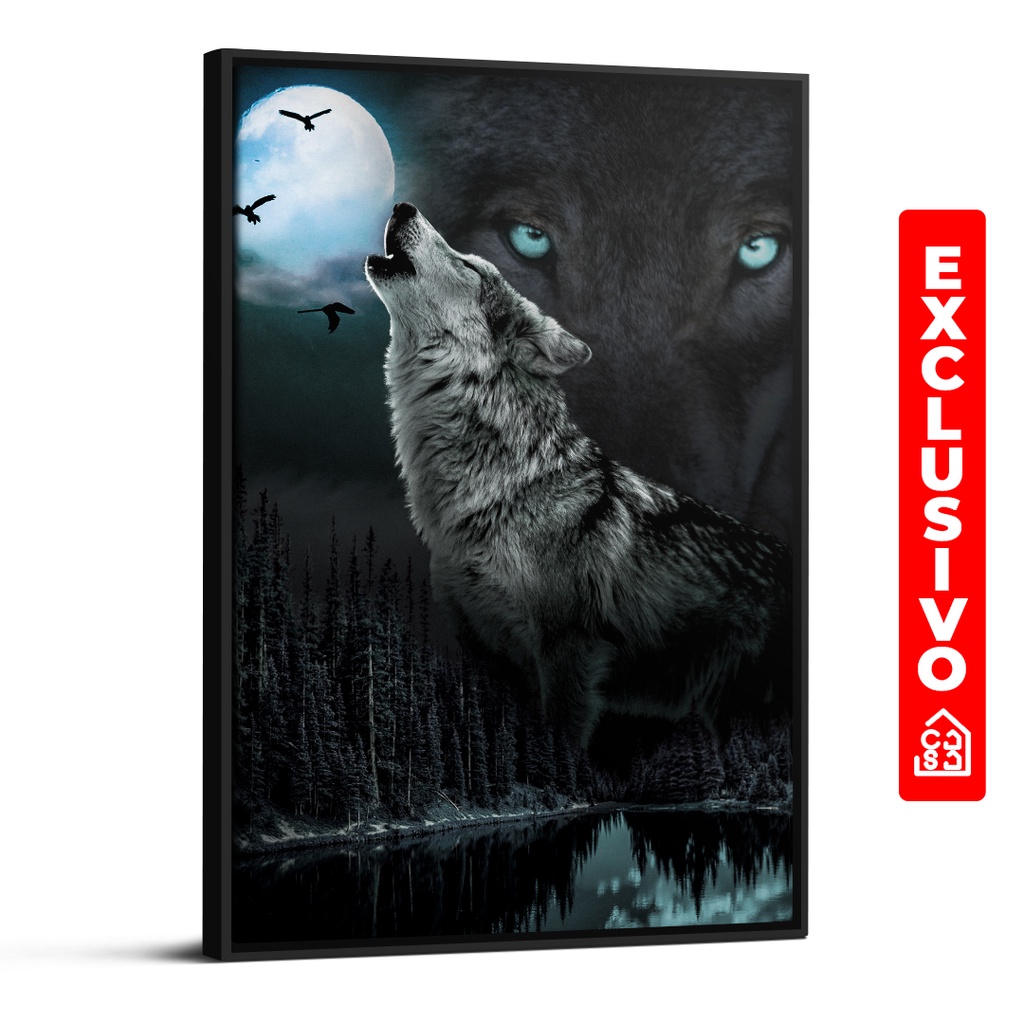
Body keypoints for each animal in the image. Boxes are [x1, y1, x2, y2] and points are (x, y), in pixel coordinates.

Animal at [366, 204, 791, 746]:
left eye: (469, 266)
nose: (403, 207)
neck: (506, 485)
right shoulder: (484, 652)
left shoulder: (568, 651)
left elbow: (560, 744)